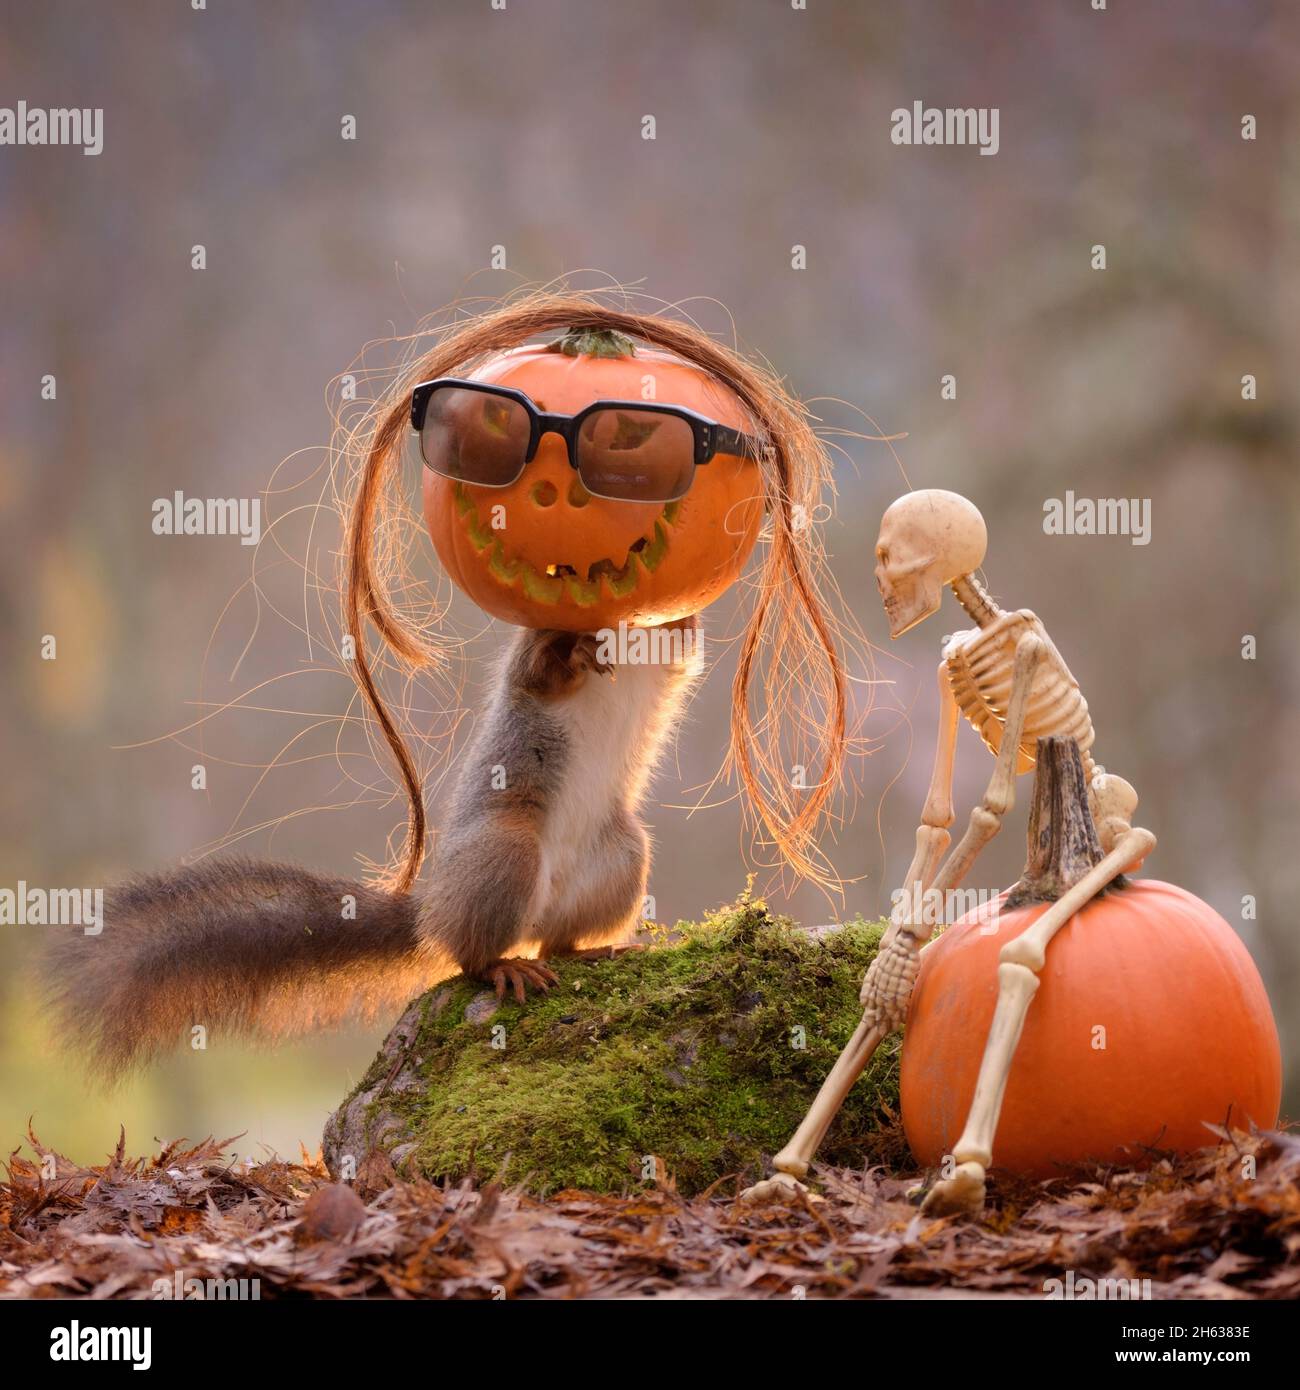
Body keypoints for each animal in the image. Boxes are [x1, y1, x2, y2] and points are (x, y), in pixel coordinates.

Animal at [44, 617, 703, 1077]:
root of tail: (431, 910)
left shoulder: (663, 659)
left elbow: (681, 649)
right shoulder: (531, 670)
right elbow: (539, 670)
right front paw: (575, 647)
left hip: (622, 855)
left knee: (555, 939)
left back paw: (588, 950)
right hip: (507, 851)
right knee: (470, 955)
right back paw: (504, 966)